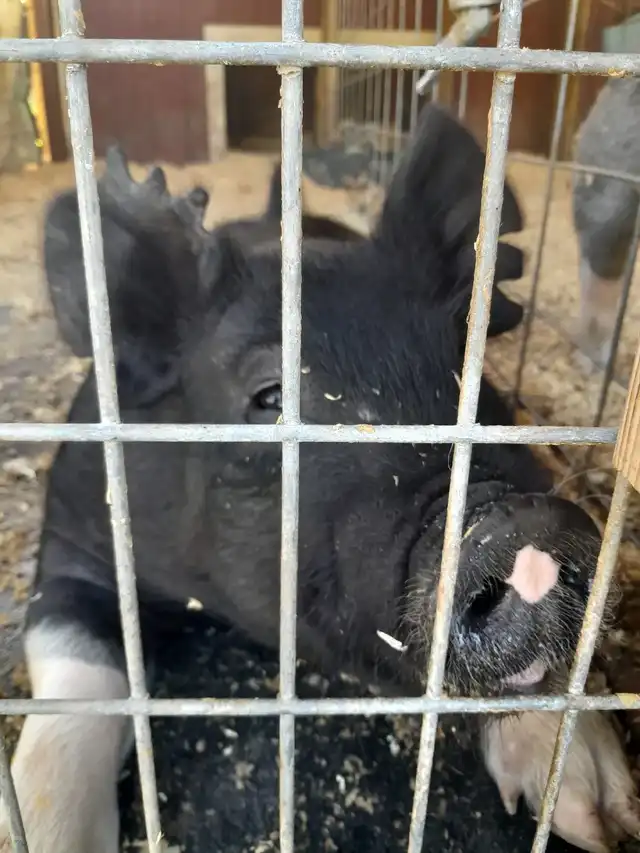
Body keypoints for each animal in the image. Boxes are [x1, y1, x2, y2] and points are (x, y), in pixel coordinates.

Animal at [1, 102, 636, 853]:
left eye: (470, 370)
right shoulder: (74, 531)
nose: (521, 523)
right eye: (269, 396)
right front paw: (35, 831)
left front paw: (601, 816)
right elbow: (79, 666)